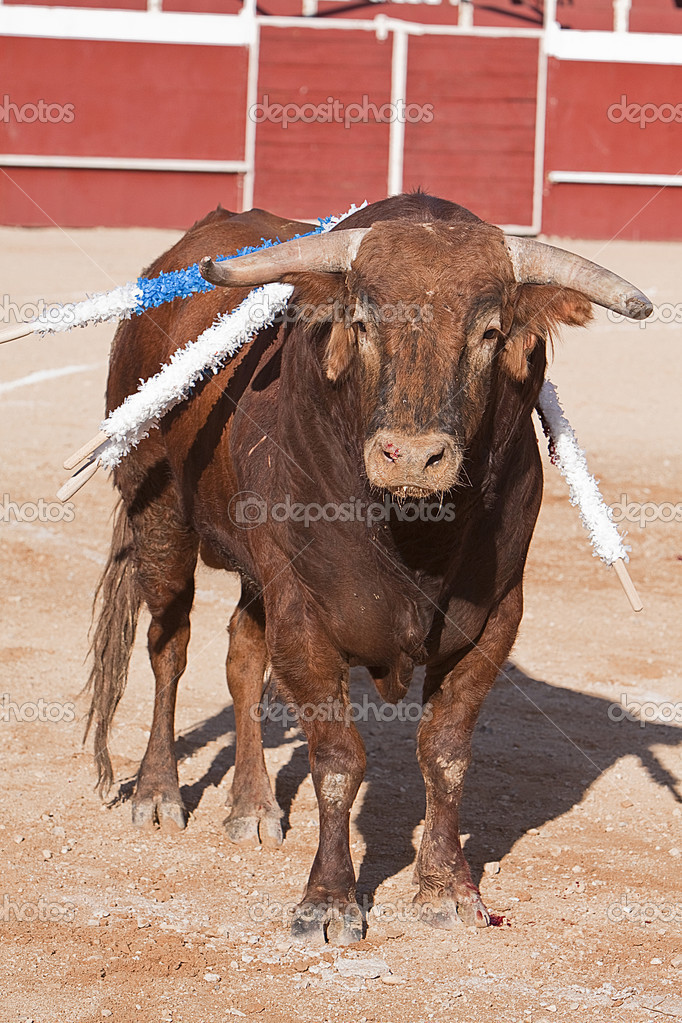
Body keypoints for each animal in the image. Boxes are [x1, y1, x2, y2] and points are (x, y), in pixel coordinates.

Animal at [86, 192, 651, 944]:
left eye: (490, 331)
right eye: (361, 322)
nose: (411, 457)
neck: (417, 539)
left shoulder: (496, 615)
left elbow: (445, 753)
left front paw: (446, 889)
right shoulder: (304, 610)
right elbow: (337, 758)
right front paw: (329, 900)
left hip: (256, 572)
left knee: (242, 656)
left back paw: (253, 805)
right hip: (159, 518)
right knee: (168, 648)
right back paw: (157, 792)